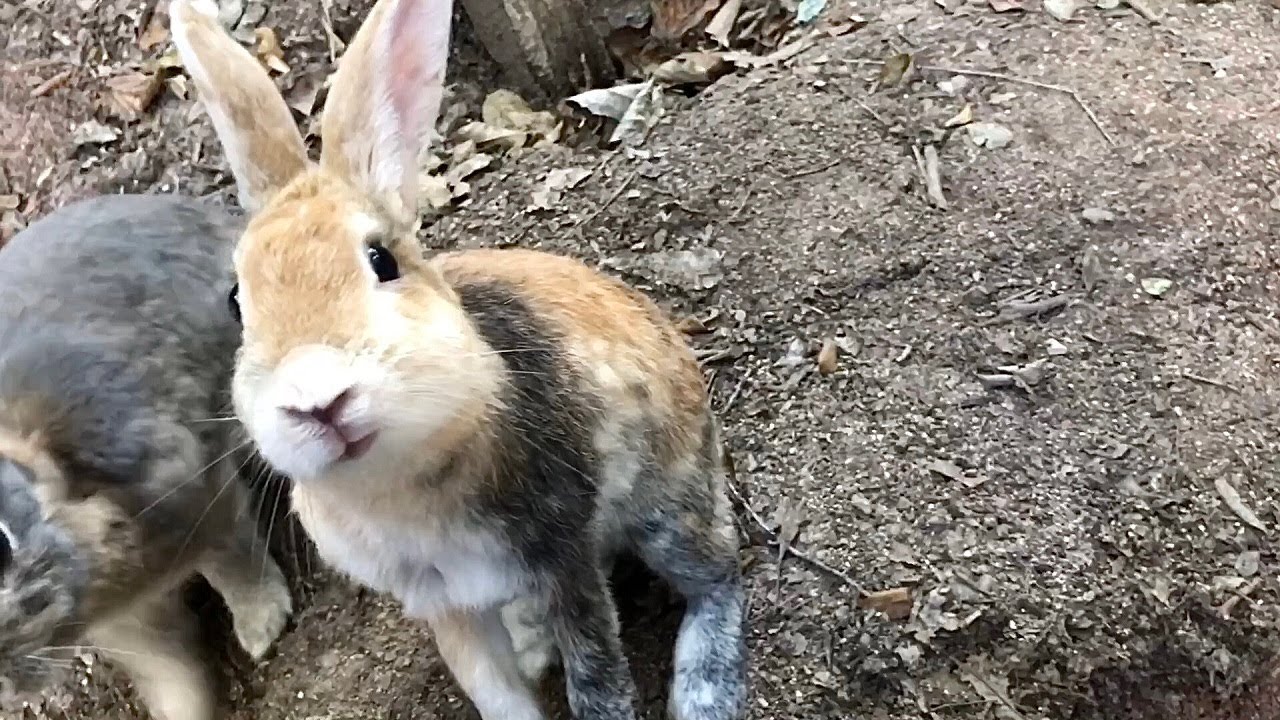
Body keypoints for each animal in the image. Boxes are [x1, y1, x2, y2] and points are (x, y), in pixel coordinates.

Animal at [0, 193, 294, 720]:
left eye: (1, 545)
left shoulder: (197, 500)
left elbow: (232, 560)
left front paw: (262, 627)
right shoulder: (132, 625)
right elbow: (174, 673)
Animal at [169, 0, 748, 718]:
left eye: (382, 259)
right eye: (235, 303)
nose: (318, 401)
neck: (400, 484)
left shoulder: (563, 558)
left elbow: (598, 678)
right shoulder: (443, 602)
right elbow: (491, 688)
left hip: (667, 506)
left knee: (720, 575)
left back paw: (705, 693)